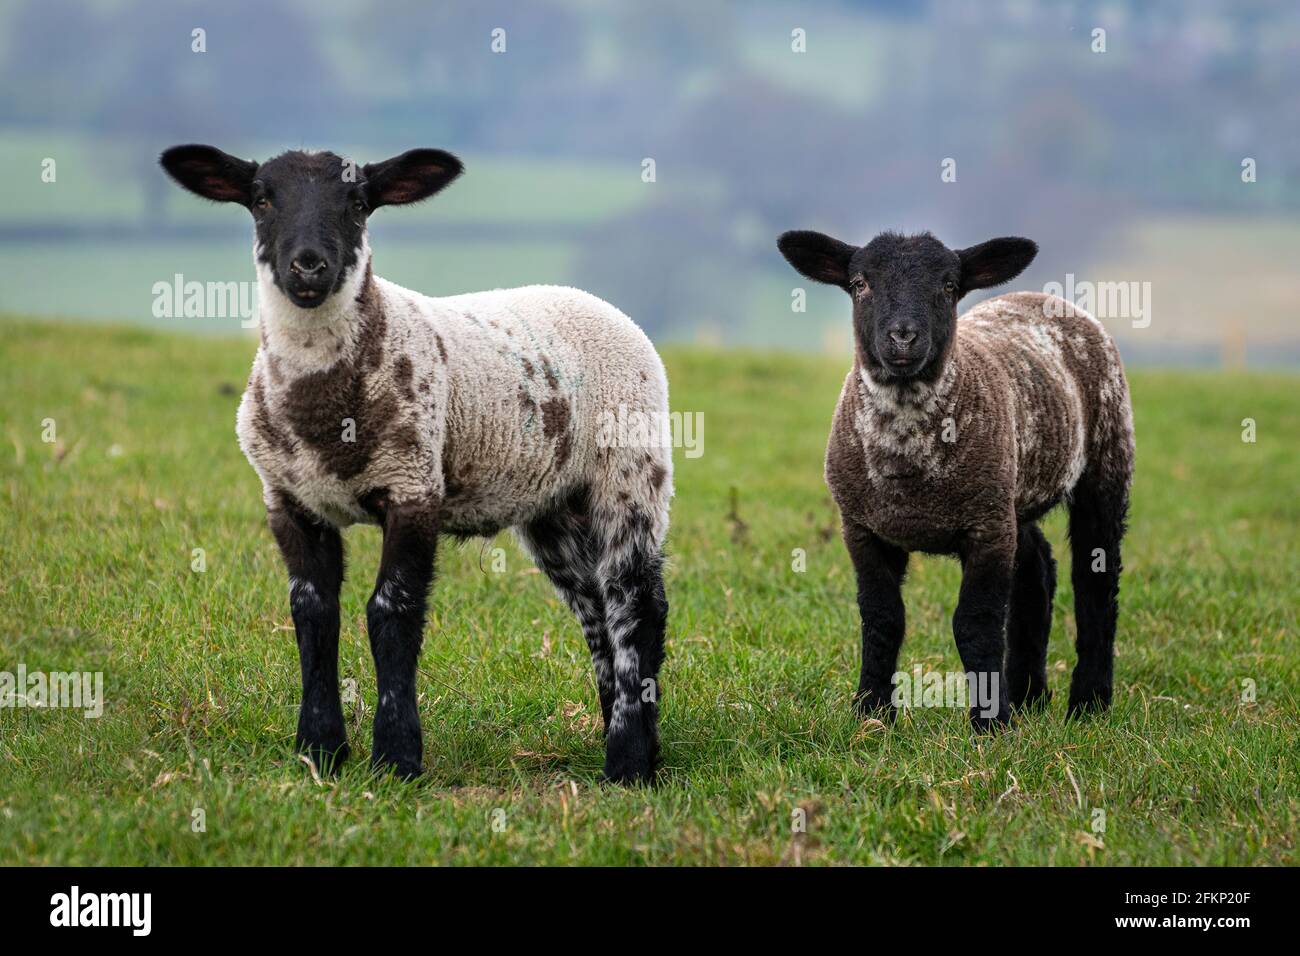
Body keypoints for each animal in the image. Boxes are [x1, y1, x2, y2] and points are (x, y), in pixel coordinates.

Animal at [160, 145, 672, 783]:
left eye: (358, 202)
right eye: (261, 199)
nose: (309, 267)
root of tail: (599, 304)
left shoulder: (413, 485)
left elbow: (390, 613)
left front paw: (396, 757)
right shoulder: (289, 501)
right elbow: (313, 613)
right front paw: (319, 750)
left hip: (629, 471)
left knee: (635, 604)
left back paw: (627, 761)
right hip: (555, 507)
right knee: (595, 610)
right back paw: (630, 742)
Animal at [777, 229, 1134, 728]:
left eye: (948, 286)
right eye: (859, 283)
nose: (903, 336)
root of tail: (1044, 296)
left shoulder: (985, 529)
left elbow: (975, 623)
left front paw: (990, 723)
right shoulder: (863, 529)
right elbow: (882, 618)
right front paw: (871, 712)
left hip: (1105, 458)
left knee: (1096, 582)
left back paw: (1088, 704)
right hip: (1012, 491)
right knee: (1037, 569)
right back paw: (1028, 694)